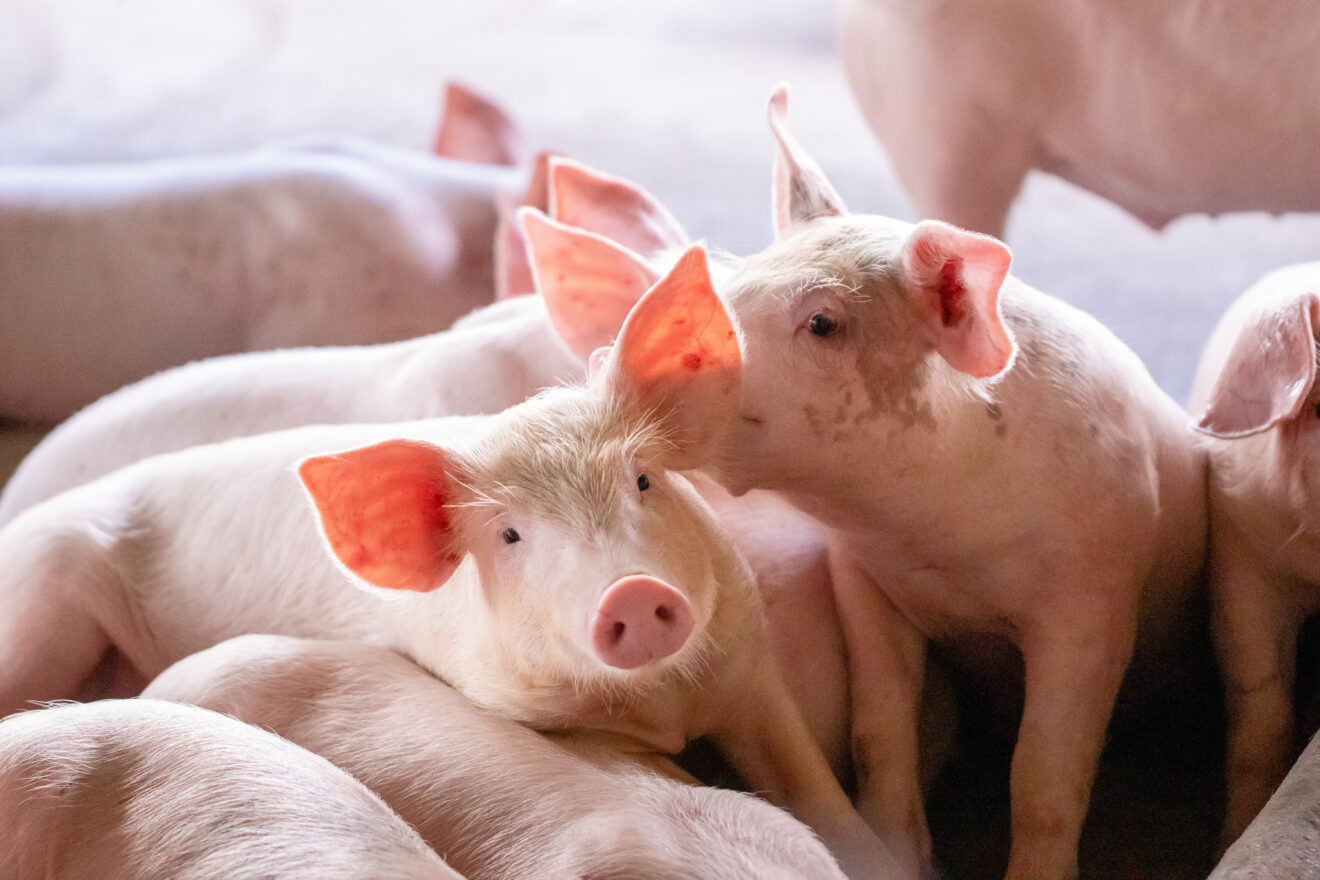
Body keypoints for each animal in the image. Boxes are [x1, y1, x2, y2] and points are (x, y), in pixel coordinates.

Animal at [669, 85, 1207, 880]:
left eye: (823, 323)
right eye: (734, 281)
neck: (945, 552)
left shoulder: (1097, 600)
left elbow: (1043, 774)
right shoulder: (863, 581)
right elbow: (879, 731)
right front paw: (900, 856)